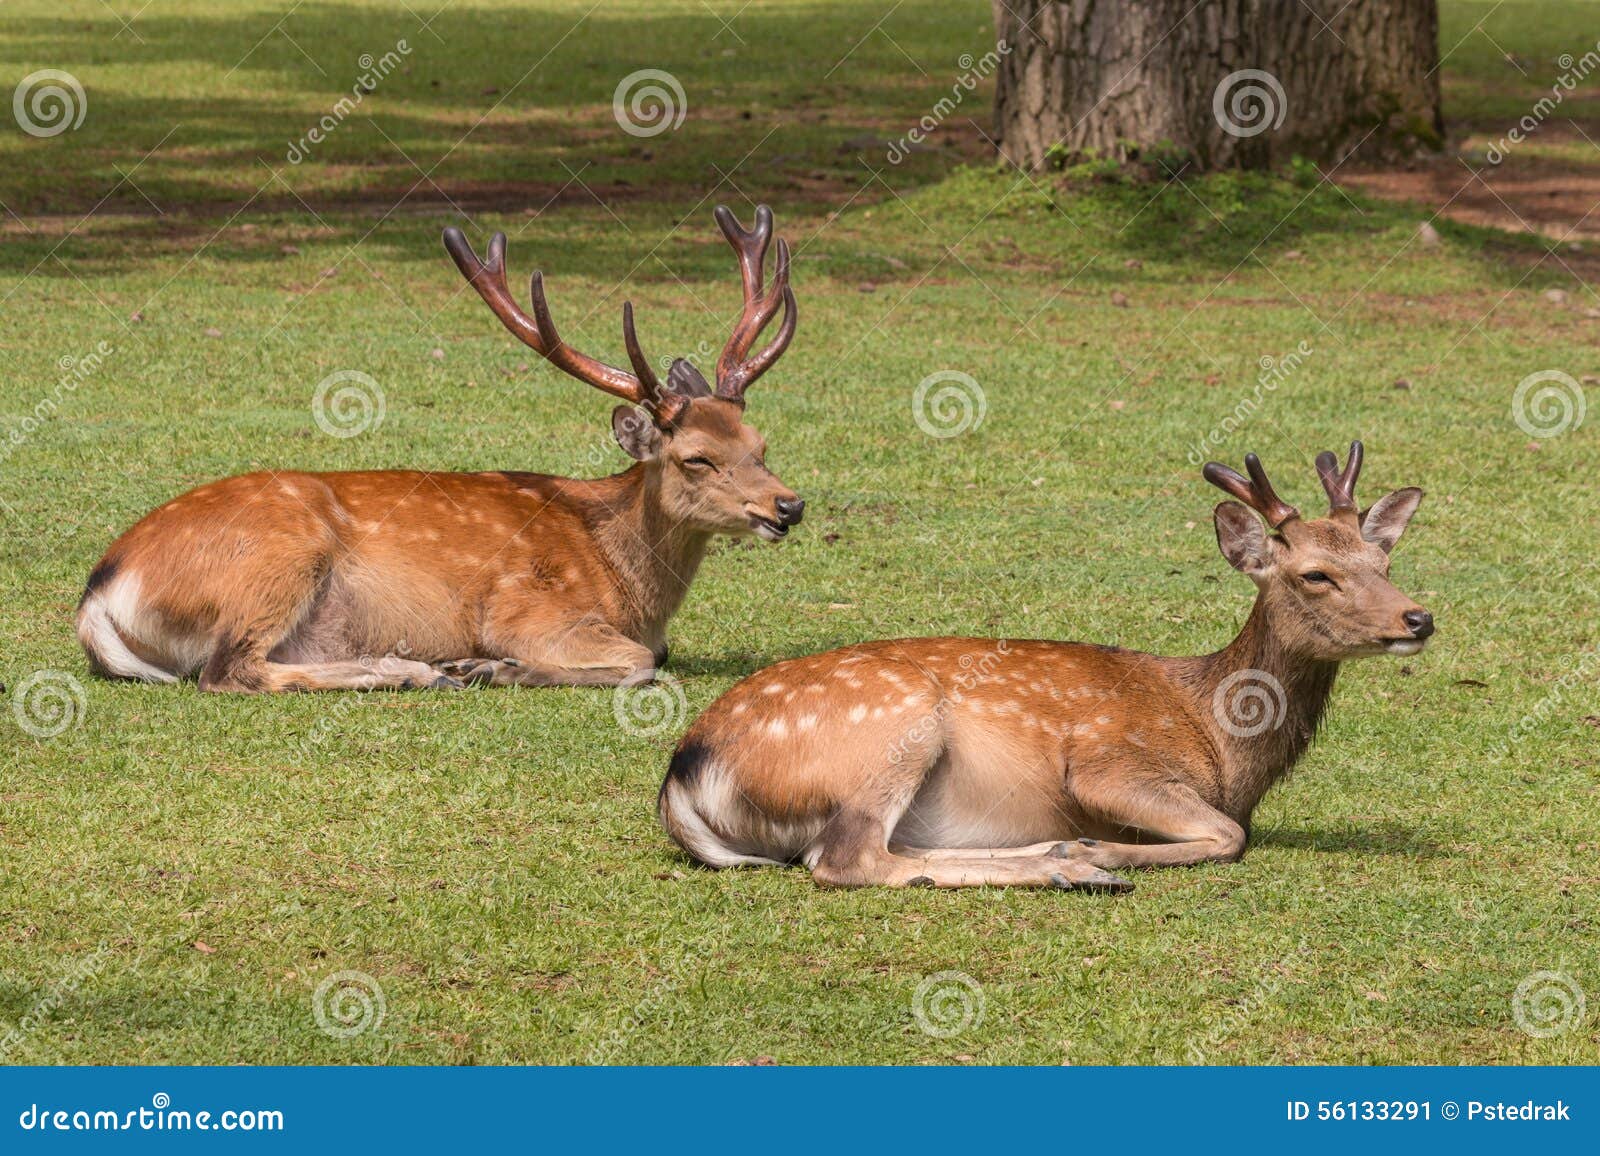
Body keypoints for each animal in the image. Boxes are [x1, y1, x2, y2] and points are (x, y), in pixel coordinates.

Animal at [75, 205, 803, 693]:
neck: (627, 583)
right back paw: (417, 671)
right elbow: (642, 662)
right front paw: (492, 665)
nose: (788, 506)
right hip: (276, 556)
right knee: (231, 670)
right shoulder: (527, 607)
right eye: (697, 458)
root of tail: (99, 594)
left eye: (760, 444)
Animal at [658, 442, 1433, 891]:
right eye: (1314, 574)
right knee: (848, 862)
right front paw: (1110, 852)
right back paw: (1076, 866)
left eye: (1383, 561)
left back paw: (1061, 854)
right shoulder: (1108, 763)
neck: (1223, 745)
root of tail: (683, 776)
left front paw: (1090, 848)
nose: (1418, 618)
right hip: (891, 725)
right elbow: (1229, 836)